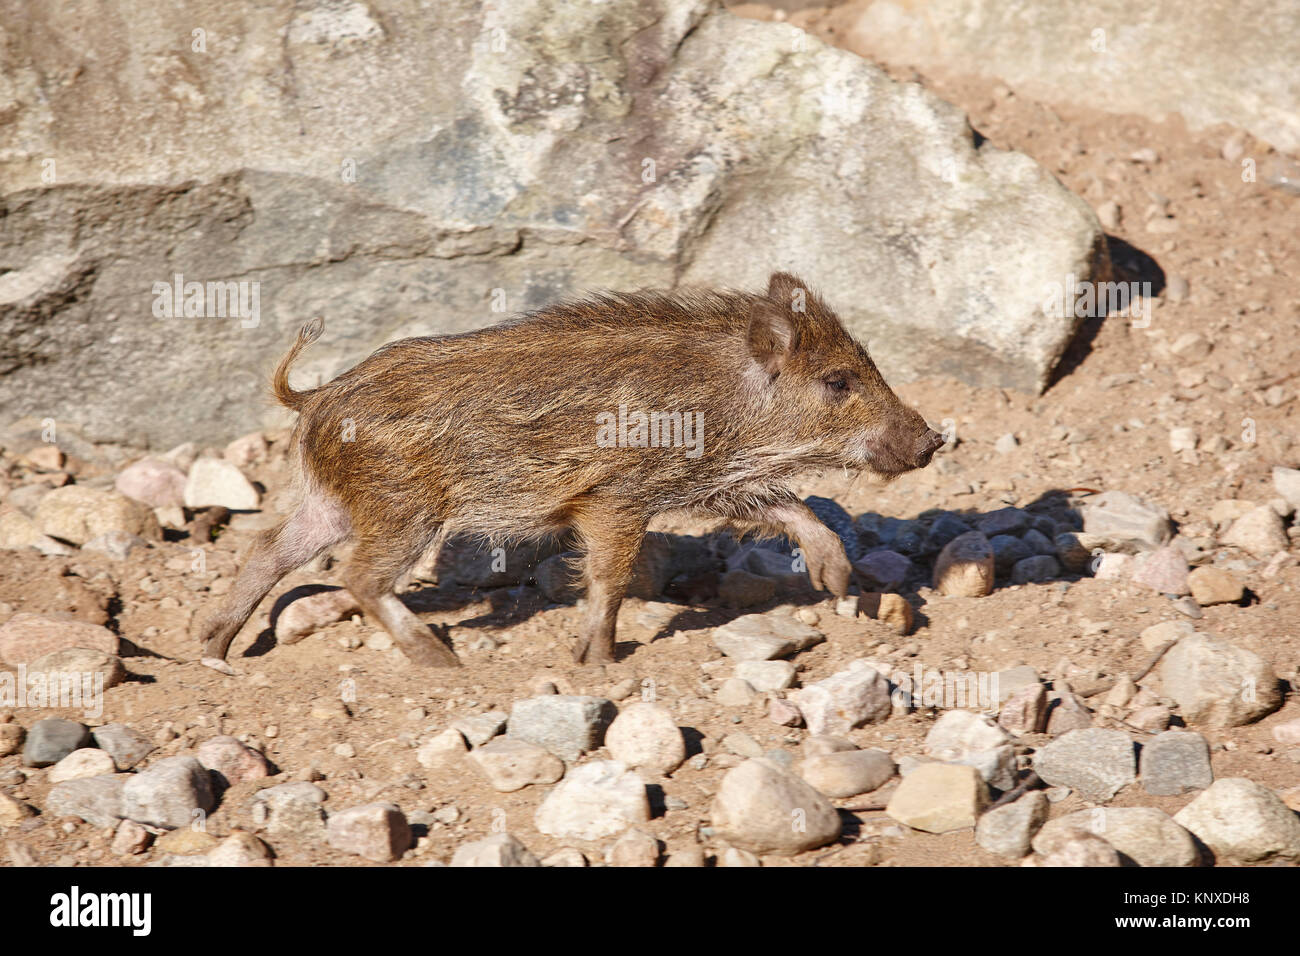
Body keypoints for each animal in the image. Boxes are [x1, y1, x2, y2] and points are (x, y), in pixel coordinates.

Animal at [196, 272, 943, 670]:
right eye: (839, 381)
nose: (934, 438)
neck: (720, 401)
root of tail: (316, 397)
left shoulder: (710, 483)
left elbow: (791, 506)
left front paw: (837, 584)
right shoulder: (616, 498)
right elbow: (610, 578)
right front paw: (598, 663)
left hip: (334, 503)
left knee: (268, 550)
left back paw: (210, 647)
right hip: (403, 509)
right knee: (358, 577)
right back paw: (444, 662)